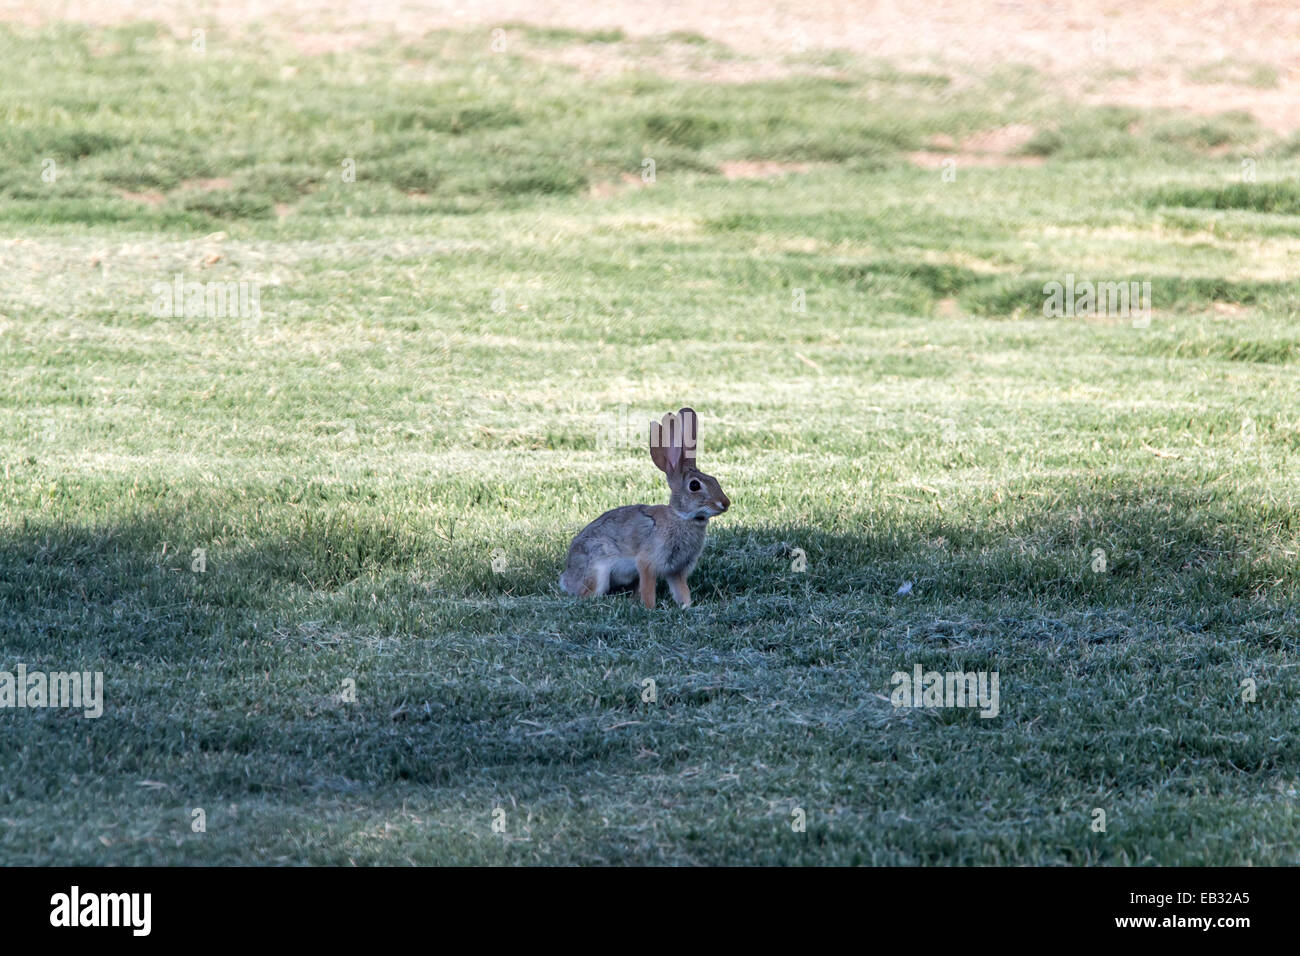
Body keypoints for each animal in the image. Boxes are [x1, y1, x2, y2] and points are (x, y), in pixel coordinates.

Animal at [560, 407, 729, 609]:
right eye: (694, 486)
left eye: (714, 479)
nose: (725, 503)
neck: (681, 517)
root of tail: (567, 578)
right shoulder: (647, 563)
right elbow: (648, 588)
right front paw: (650, 608)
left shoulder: (676, 570)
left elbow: (681, 590)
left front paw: (687, 607)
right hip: (597, 564)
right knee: (588, 593)